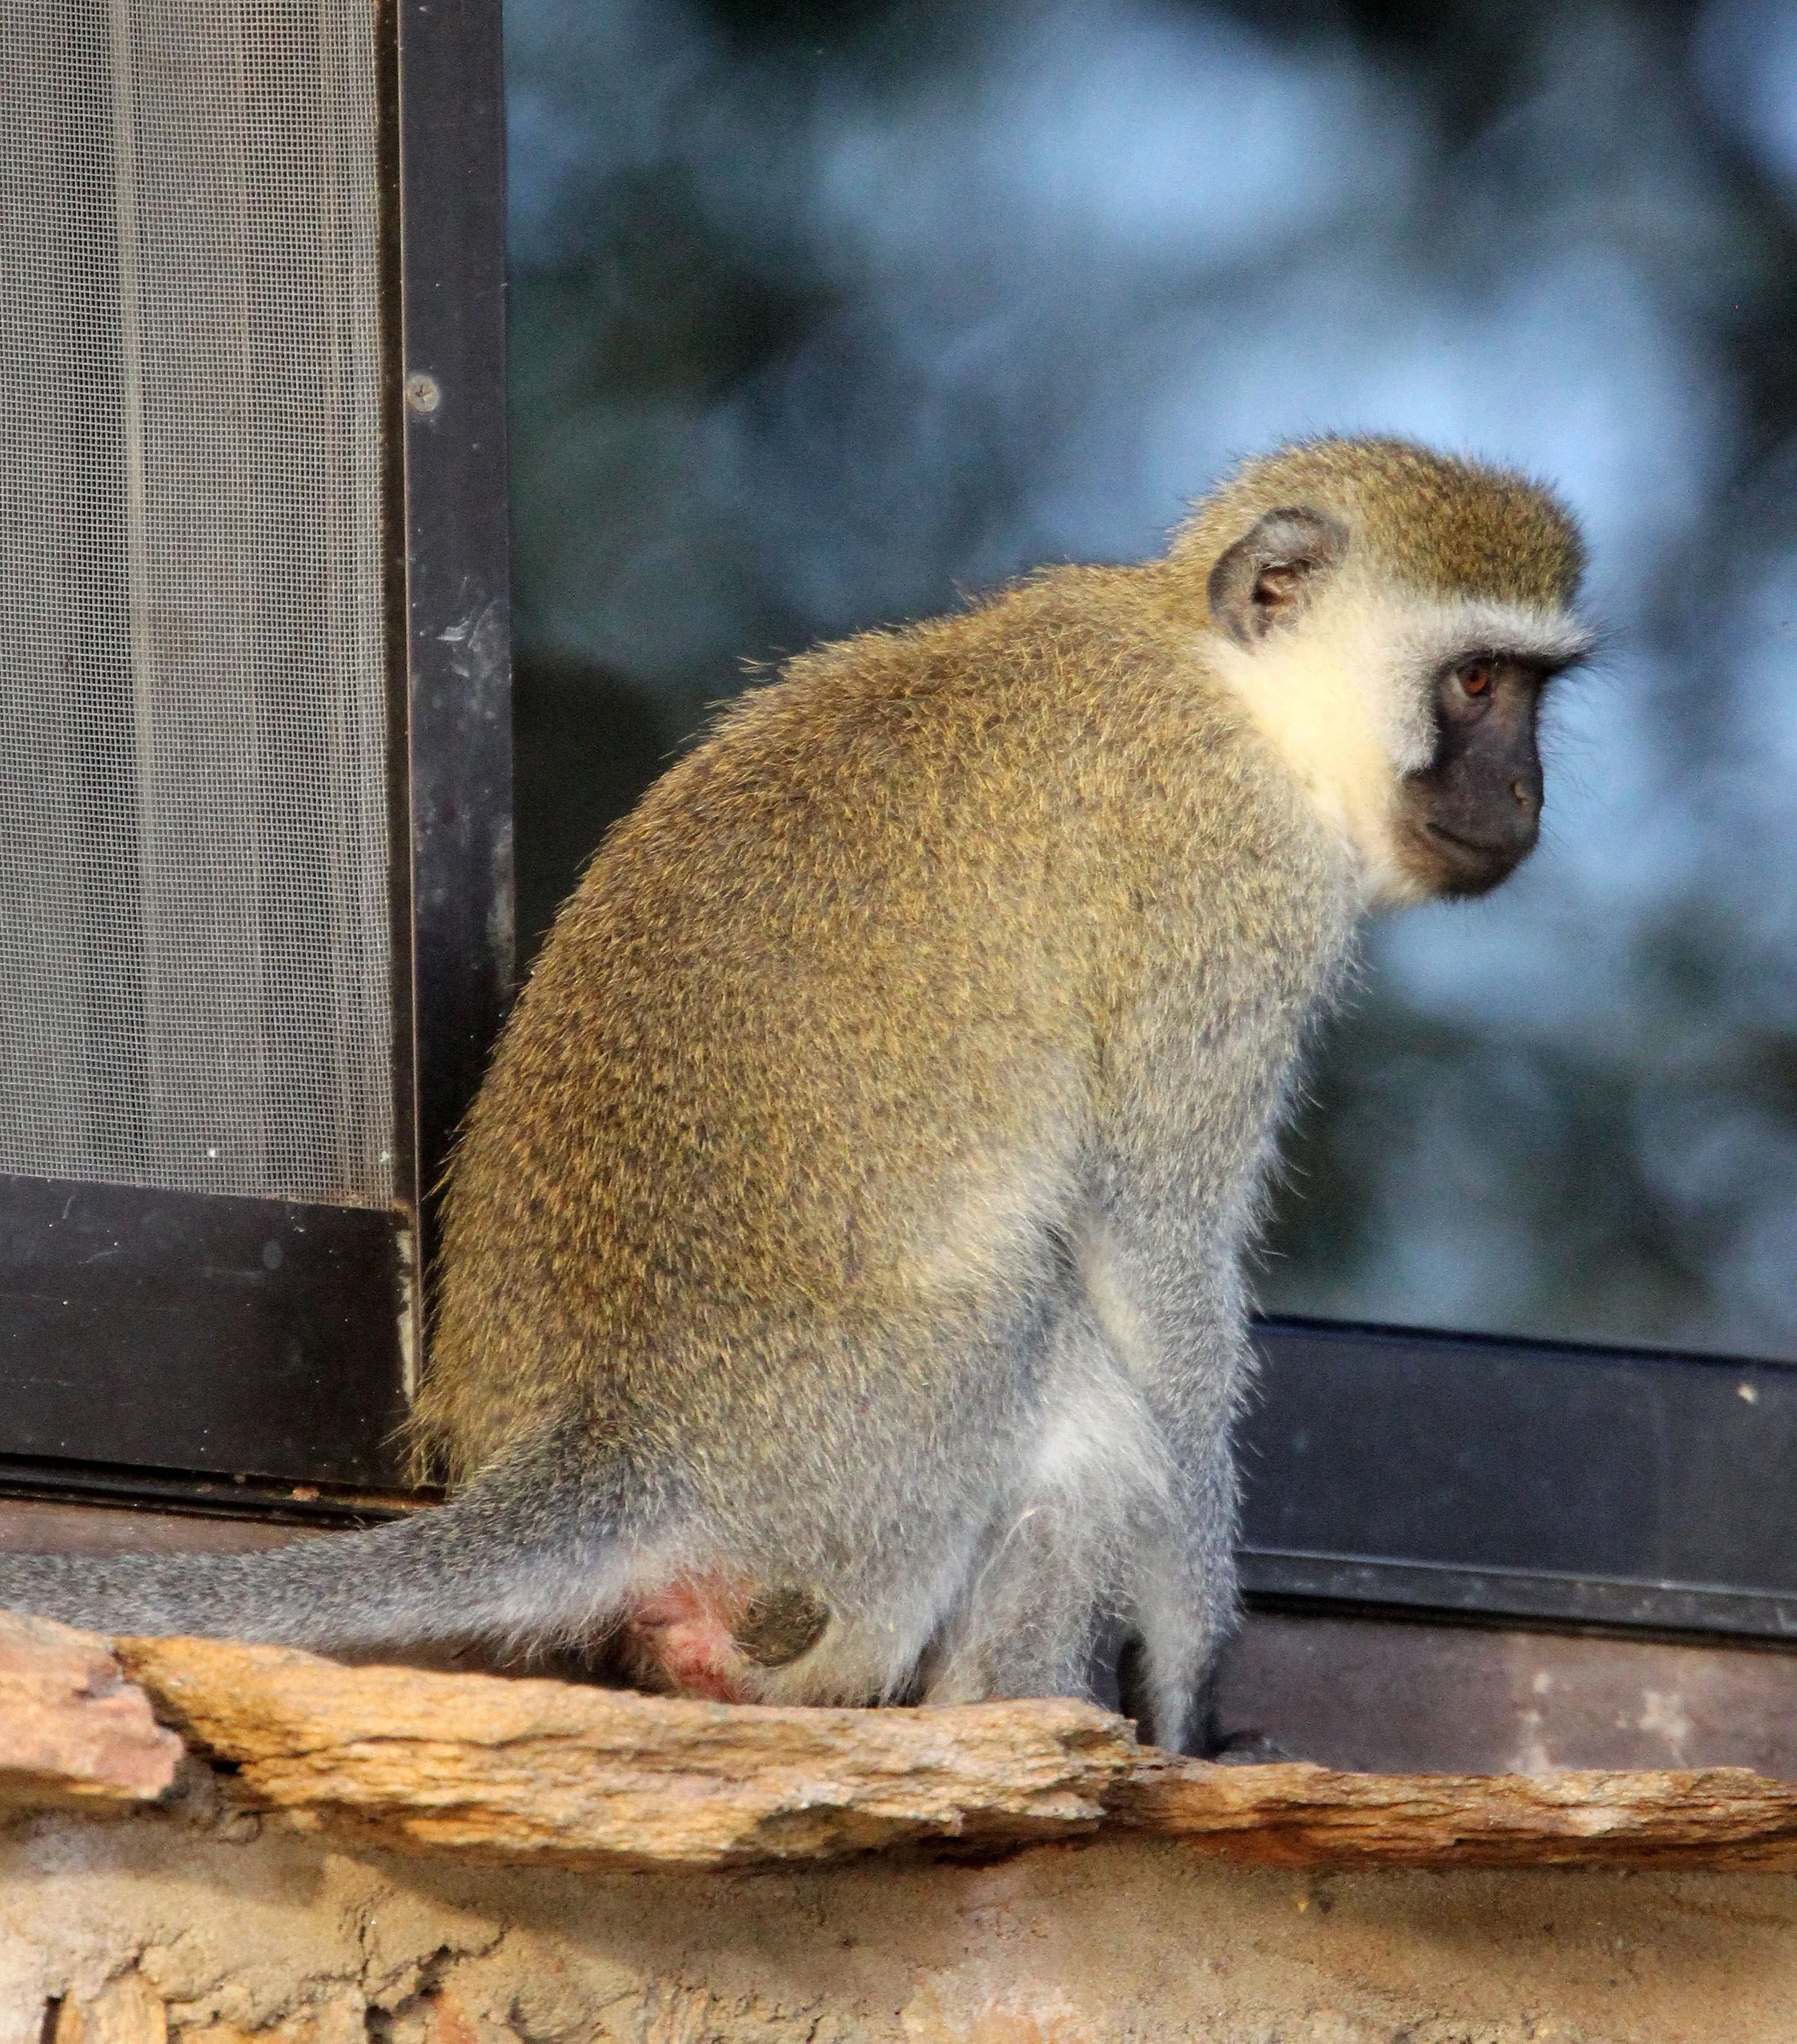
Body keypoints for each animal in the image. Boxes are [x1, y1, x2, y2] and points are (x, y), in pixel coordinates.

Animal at [0, 436, 1590, 1751]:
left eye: (1529, 693)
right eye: (1476, 684)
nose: (1524, 799)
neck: (1227, 684)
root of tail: (617, 1425)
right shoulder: (1236, 890)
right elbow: (1152, 1246)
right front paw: (1196, 1651)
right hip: (855, 1460)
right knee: (1056, 1348)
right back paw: (992, 1705)